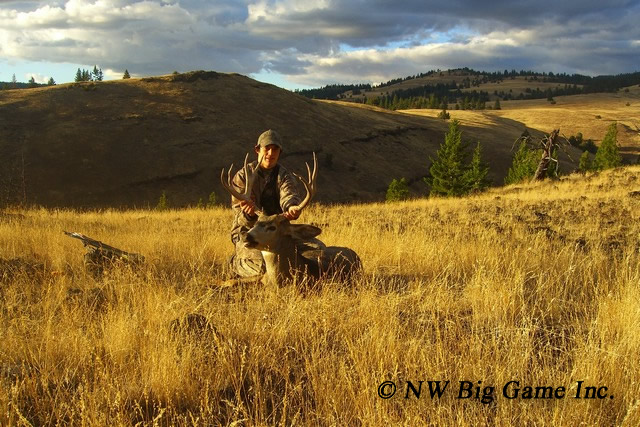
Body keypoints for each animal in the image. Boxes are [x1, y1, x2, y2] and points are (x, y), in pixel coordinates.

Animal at [220, 152, 362, 287]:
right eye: (255, 223)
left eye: (272, 227)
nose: (246, 236)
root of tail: (353, 252)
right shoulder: (260, 276)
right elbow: (231, 281)